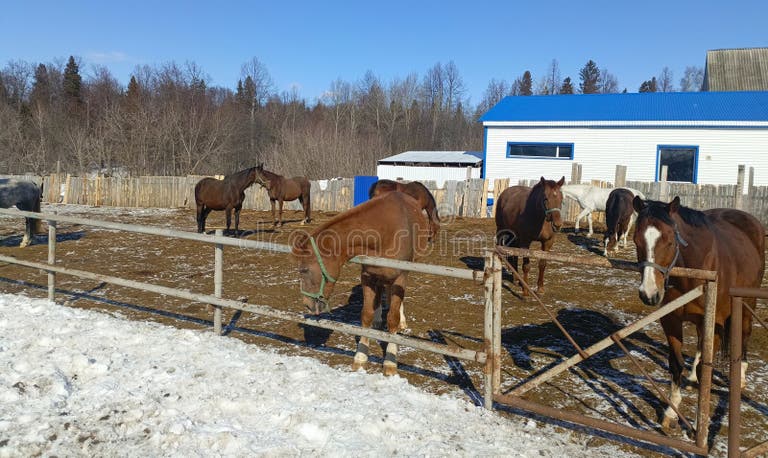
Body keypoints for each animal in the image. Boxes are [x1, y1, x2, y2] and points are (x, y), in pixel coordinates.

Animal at [292, 191, 430, 376]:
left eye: (304, 270)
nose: (307, 304)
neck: (384, 233)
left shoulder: (400, 277)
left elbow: (392, 318)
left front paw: (390, 360)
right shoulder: (367, 276)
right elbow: (366, 315)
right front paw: (360, 357)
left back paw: (401, 320)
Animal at [632, 196, 765, 429]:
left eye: (670, 241)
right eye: (636, 240)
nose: (649, 294)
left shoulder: (712, 322)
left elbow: (706, 369)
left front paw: (698, 421)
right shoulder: (671, 320)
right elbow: (676, 364)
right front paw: (671, 412)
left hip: (747, 303)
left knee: (744, 335)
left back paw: (740, 377)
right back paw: (692, 377)